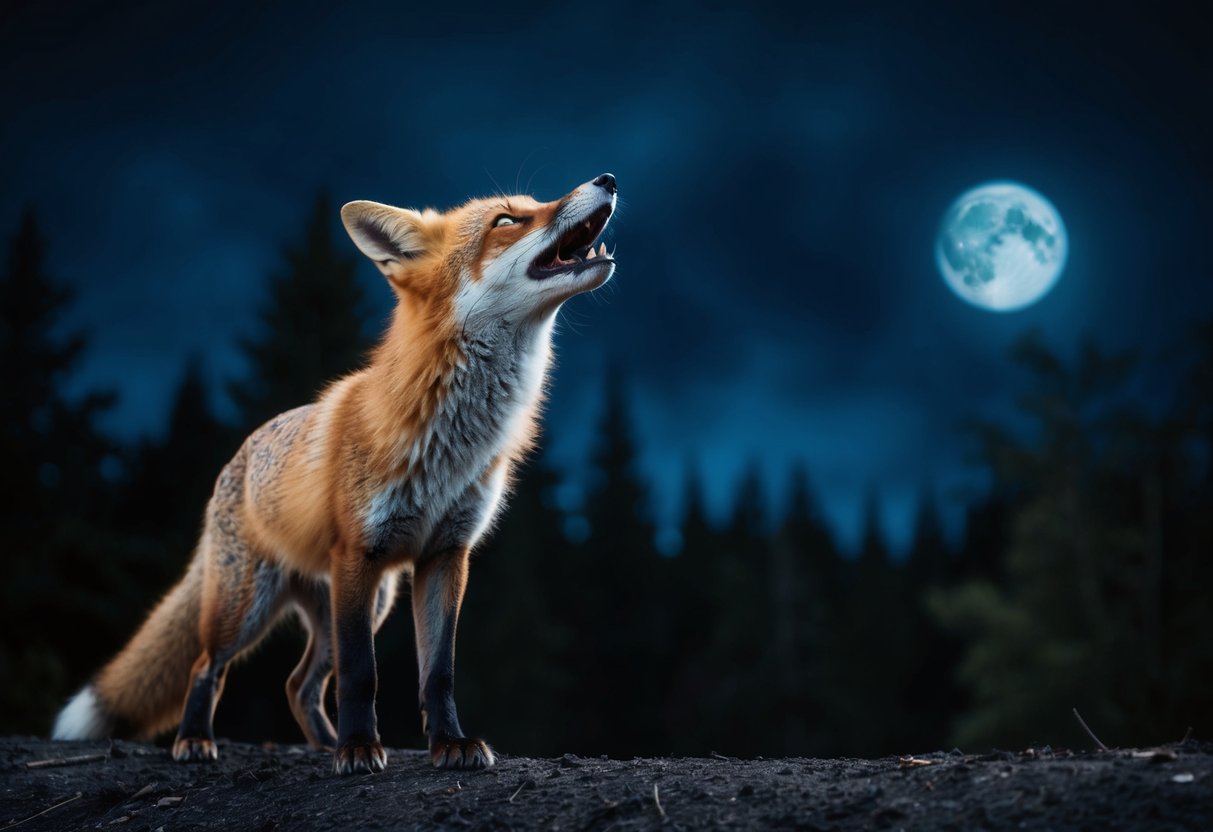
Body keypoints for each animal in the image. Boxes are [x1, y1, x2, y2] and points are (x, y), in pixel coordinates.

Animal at [51, 173, 619, 775]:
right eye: (508, 220)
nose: (606, 179)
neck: (449, 440)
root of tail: (237, 457)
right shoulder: (358, 553)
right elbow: (361, 674)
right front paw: (359, 749)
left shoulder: (445, 555)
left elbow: (438, 673)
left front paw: (448, 744)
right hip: (252, 606)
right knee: (207, 666)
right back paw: (199, 740)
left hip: (364, 604)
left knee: (298, 683)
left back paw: (322, 743)